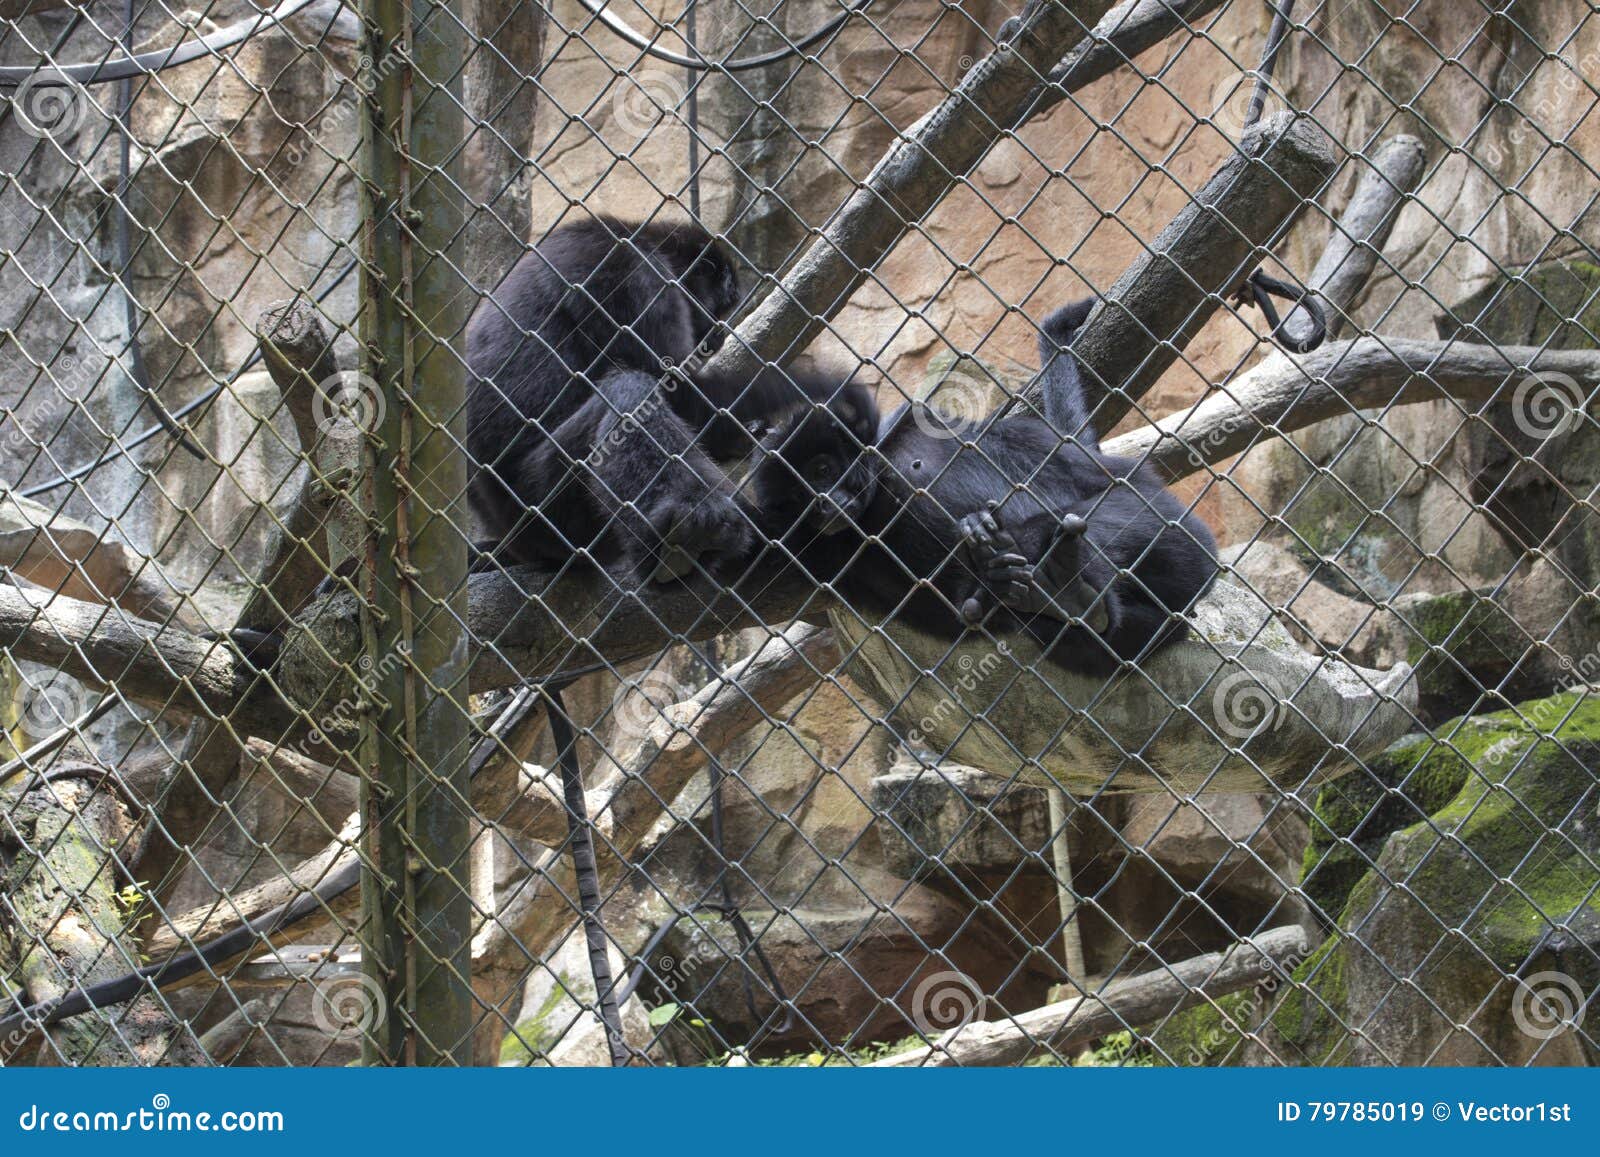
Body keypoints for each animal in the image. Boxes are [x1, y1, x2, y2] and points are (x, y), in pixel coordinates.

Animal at [467, 215, 866, 584]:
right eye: (721, 307)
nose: (718, 334)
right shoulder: (631, 272)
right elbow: (678, 395)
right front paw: (814, 388)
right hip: (540, 502)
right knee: (628, 392)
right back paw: (690, 531)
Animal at [748, 297, 1218, 675]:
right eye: (798, 498)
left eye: (821, 470)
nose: (824, 503)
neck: (882, 490)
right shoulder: (815, 547)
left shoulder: (921, 421)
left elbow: (1105, 480)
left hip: (1183, 540)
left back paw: (1059, 582)